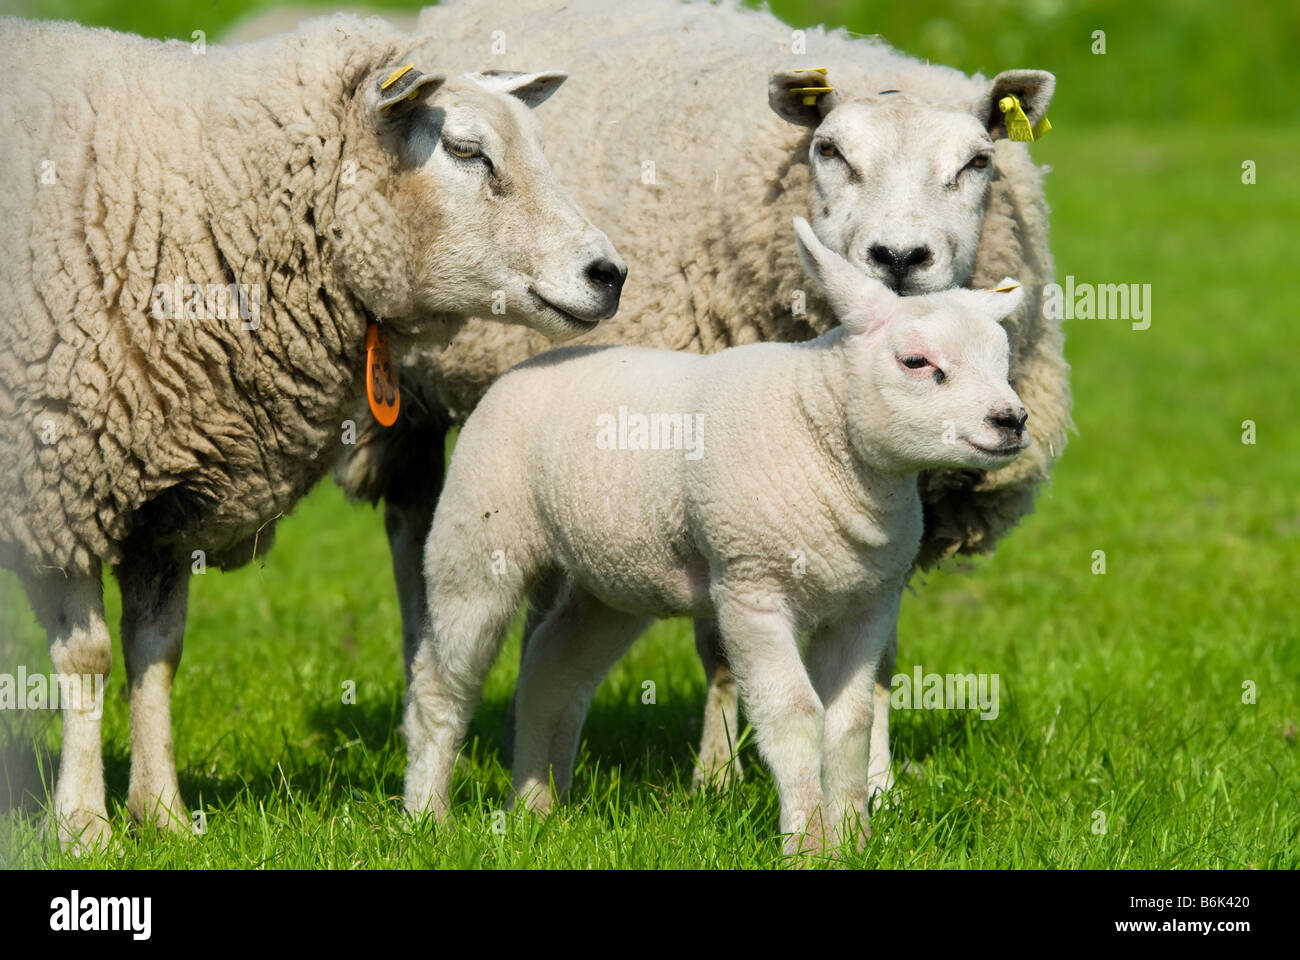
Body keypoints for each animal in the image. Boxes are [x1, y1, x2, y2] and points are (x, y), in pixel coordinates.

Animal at [0, 12, 626, 850]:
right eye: (466, 151)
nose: (609, 274)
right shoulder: (55, 485)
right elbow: (90, 658)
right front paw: (83, 826)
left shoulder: (168, 498)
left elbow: (157, 652)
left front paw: (162, 815)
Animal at [405, 217, 1030, 855]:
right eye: (916, 362)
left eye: (1003, 361)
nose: (1011, 421)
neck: (826, 440)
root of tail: (529, 365)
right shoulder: (751, 589)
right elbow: (794, 712)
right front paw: (808, 842)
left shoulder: (866, 604)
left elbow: (850, 721)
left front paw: (853, 838)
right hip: (475, 538)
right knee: (441, 683)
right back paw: (427, 813)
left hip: (613, 579)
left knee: (552, 671)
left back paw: (534, 808)